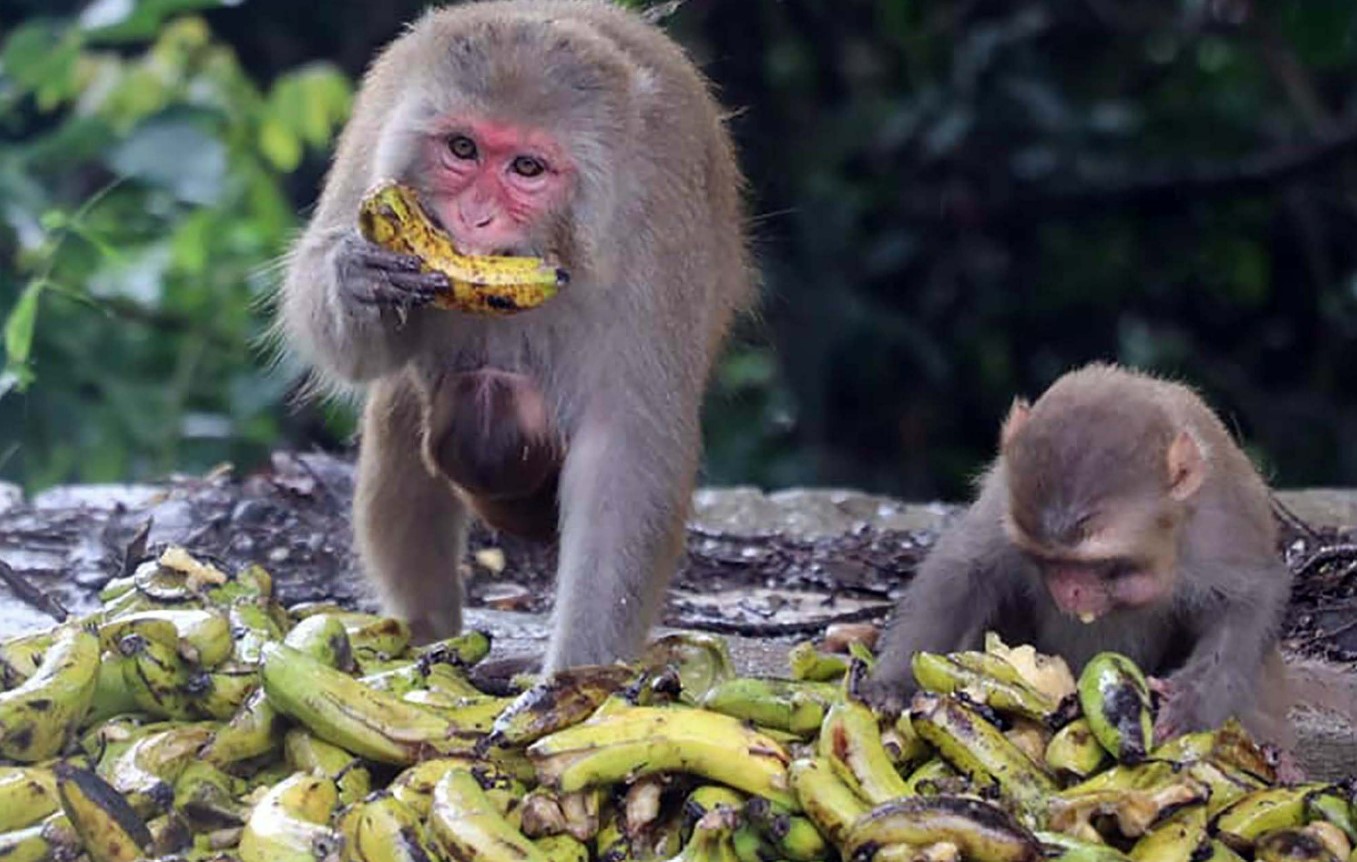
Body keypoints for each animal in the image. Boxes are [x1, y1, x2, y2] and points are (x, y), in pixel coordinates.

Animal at [277, 0, 754, 672]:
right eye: (462, 148)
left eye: (526, 167)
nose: (474, 217)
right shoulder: (378, 129)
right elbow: (351, 346)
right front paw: (355, 278)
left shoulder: (658, 229)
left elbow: (625, 447)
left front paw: (576, 674)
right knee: (401, 422)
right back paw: (426, 632)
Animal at [865, 362, 1295, 748]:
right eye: (1048, 560)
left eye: (1101, 565)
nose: (1067, 591)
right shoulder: (1003, 496)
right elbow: (965, 567)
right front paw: (896, 681)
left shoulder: (1220, 525)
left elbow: (1250, 598)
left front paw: (1194, 703)